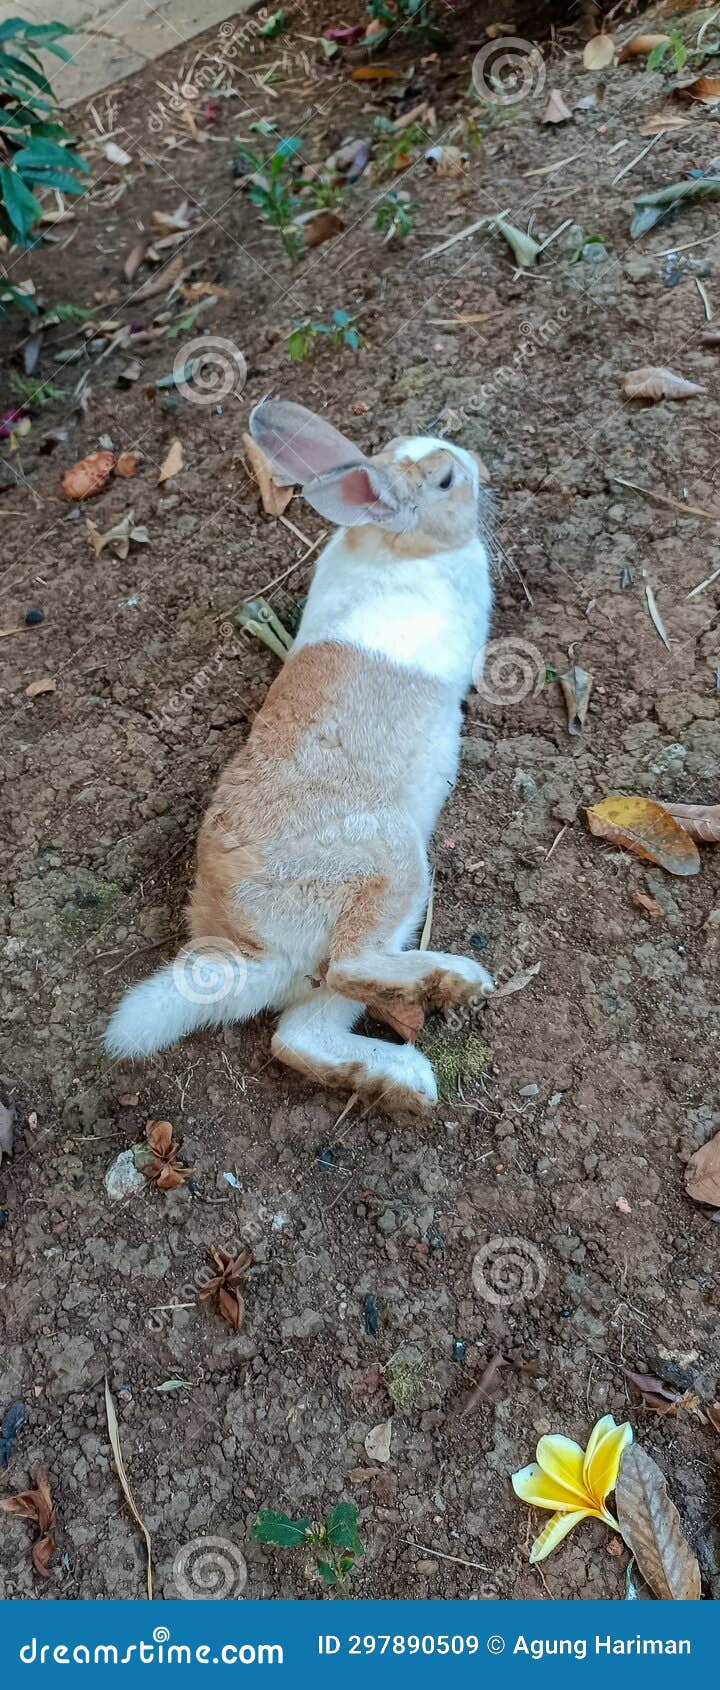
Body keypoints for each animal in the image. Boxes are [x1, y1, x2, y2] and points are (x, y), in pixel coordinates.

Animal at [103, 398, 495, 1112]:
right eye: (447, 480)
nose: (478, 464)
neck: (398, 542)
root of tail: (254, 948)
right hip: (393, 865)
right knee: (352, 964)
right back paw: (452, 982)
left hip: (369, 933)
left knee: (299, 1036)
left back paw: (398, 1082)